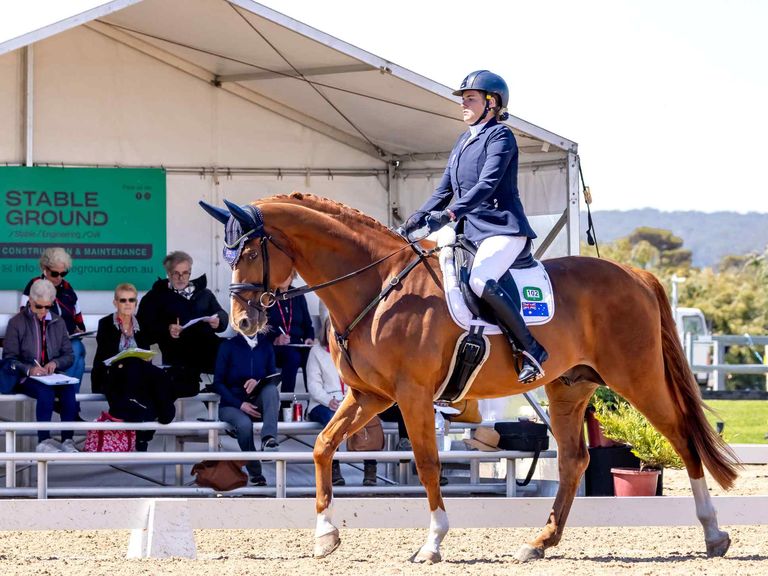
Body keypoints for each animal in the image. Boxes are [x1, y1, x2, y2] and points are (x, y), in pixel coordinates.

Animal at [200, 192, 739, 564]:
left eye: (248, 252)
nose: (243, 323)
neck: (375, 288)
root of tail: (634, 274)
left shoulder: (412, 396)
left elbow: (426, 464)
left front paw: (432, 543)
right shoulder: (369, 396)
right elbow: (322, 447)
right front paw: (325, 536)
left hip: (636, 376)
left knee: (682, 438)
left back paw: (714, 534)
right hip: (570, 386)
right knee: (574, 461)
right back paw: (539, 542)